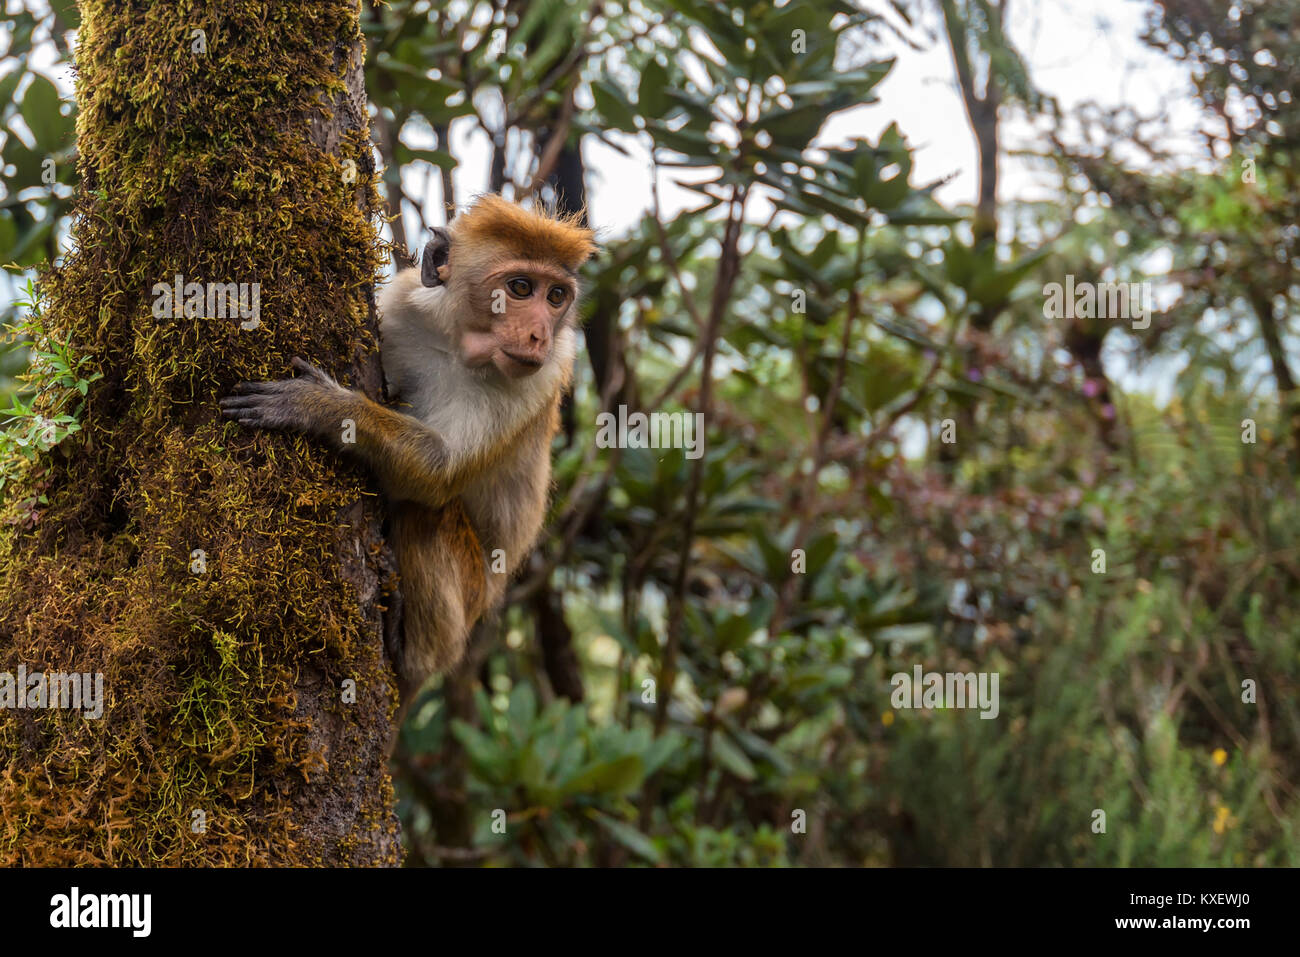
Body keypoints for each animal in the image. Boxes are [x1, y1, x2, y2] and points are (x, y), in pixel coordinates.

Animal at [219, 195, 596, 722]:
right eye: (521, 288)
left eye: (557, 296)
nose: (540, 334)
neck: (457, 345)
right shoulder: (401, 307)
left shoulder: (541, 377)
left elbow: (436, 475)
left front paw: (321, 408)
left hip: (468, 599)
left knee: (427, 515)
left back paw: (409, 652)